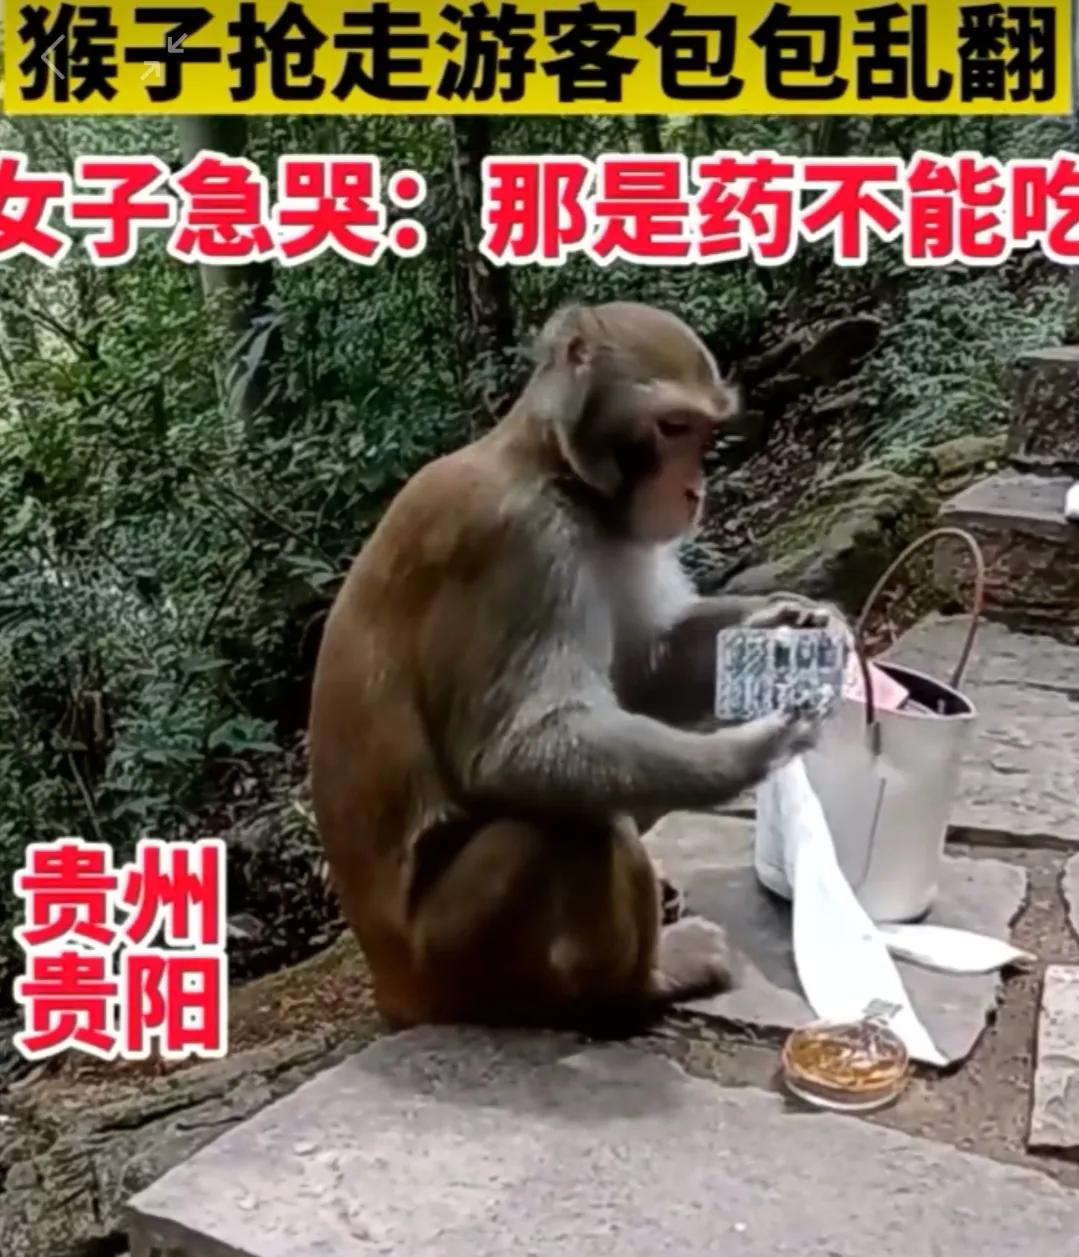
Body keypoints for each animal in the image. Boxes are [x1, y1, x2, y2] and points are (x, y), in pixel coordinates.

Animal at [308, 300, 838, 1037]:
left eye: (703, 433)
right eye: (671, 428)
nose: (693, 490)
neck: (558, 475)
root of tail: (396, 990)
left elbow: (645, 669)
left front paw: (786, 622)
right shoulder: (520, 544)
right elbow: (511, 750)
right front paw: (749, 752)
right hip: (456, 956)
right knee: (574, 818)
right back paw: (631, 989)